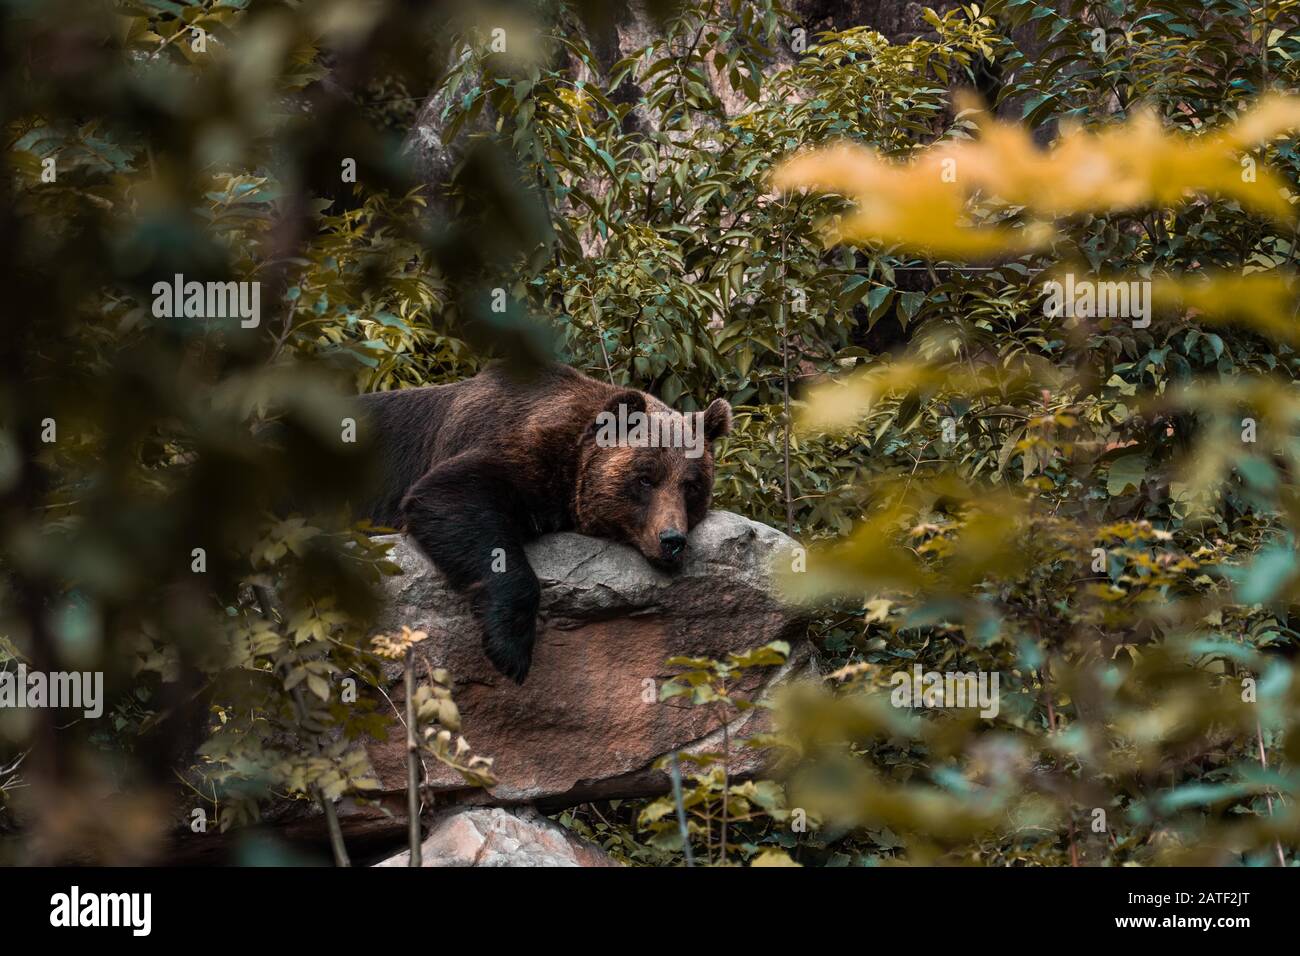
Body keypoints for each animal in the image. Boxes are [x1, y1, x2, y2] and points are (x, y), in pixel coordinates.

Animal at [357, 362, 732, 683]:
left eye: (691, 485)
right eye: (645, 479)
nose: (671, 540)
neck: (572, 470)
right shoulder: (514, 445)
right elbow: (449, 494)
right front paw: (510, 650)